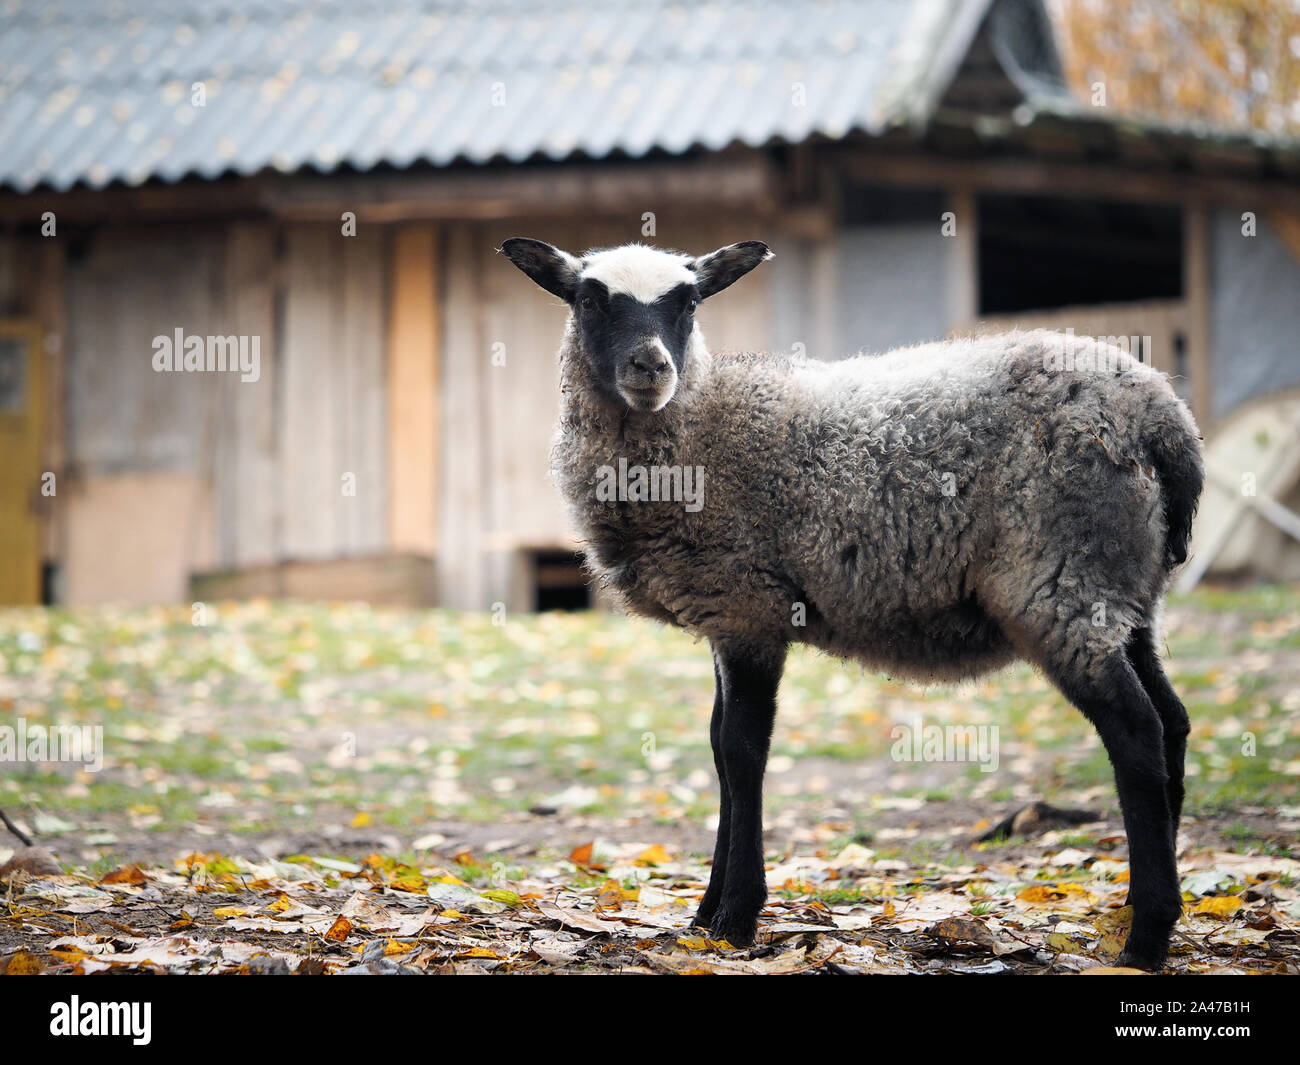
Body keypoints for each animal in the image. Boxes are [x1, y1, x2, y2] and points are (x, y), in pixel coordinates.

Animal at [500, 236, 1205, 971]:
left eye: (688, 302)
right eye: (588, 299)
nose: (651, 367)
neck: (701, 421)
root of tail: (1161, 417)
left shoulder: (749, 607)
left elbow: (742, 752)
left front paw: (736, 919)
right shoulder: (728, 614)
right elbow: (719, 749)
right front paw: (704, 914)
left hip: (1060, 582)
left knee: (1136, 730)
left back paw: (1147, 937)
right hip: (1125, 594)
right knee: (1173, 722)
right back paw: (1139, 912)